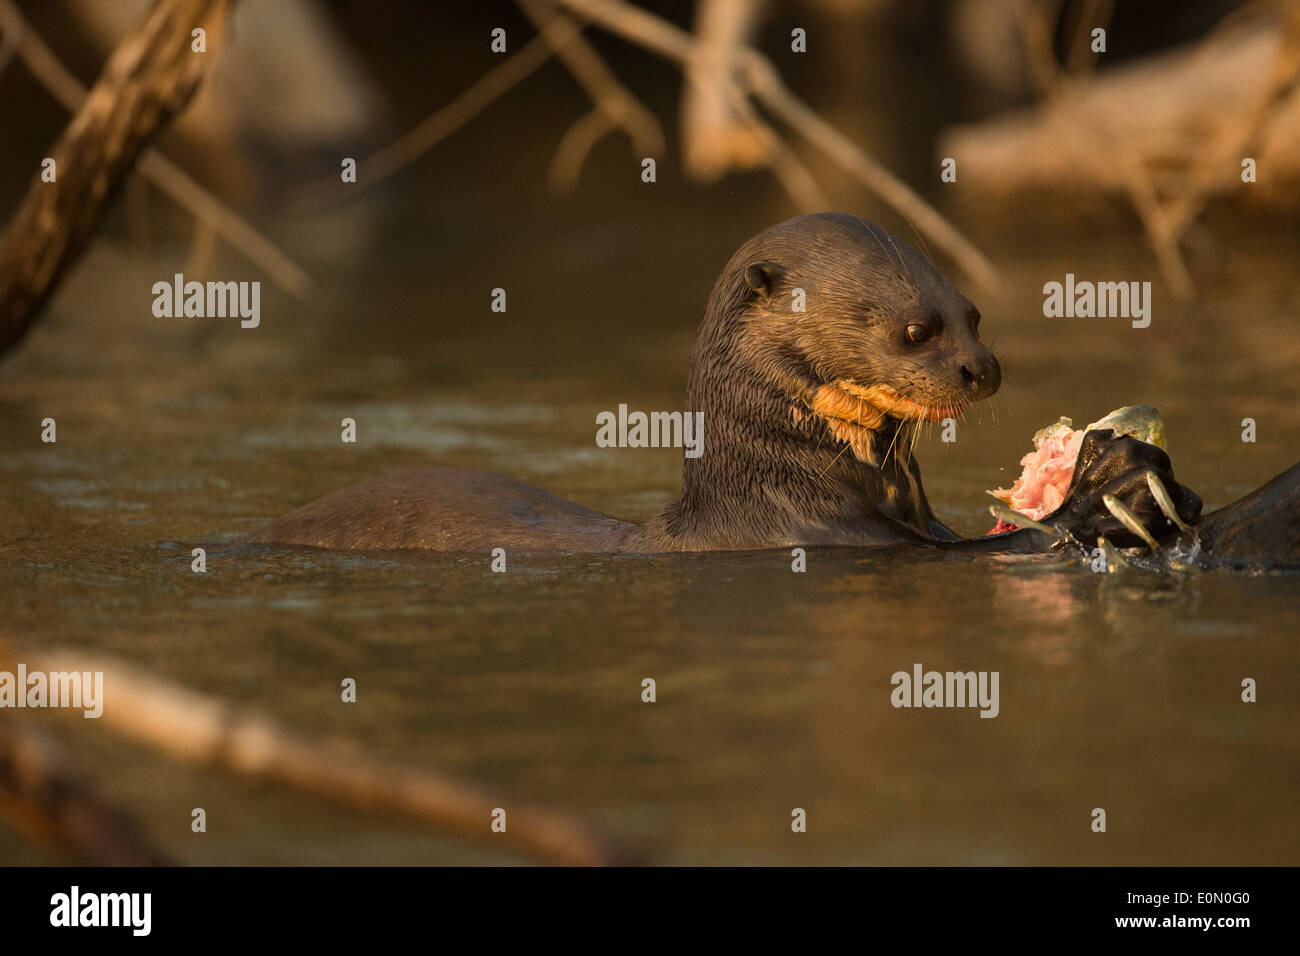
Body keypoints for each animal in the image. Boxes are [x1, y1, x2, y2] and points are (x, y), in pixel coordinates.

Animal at [248, 213, 1295, 565]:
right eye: (915, 327)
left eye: (973, 310)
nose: (982, 369)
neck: (779, 485)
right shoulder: (828, 540)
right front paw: (1114, 488)